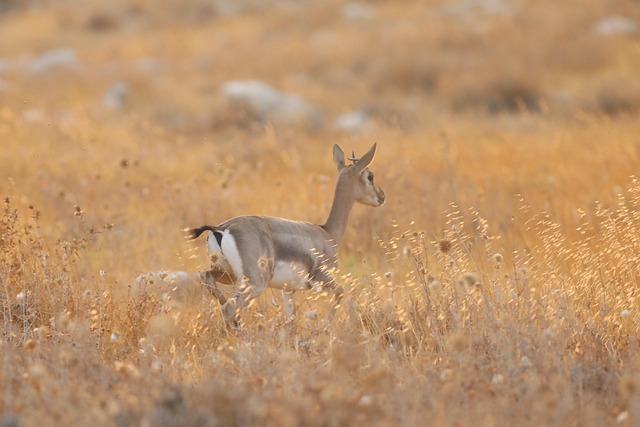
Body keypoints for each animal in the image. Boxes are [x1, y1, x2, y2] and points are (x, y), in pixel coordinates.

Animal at [188, 144, 385, 326]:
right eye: (370, 177)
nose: (382, 196)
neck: (326, 232)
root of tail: (221, 229)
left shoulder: (288, 290)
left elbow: (291, 321)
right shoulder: (322, 281)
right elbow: (342, 293)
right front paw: (324, 328)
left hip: (228, 275)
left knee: (208, 281)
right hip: (254, 283)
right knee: (229, 308)